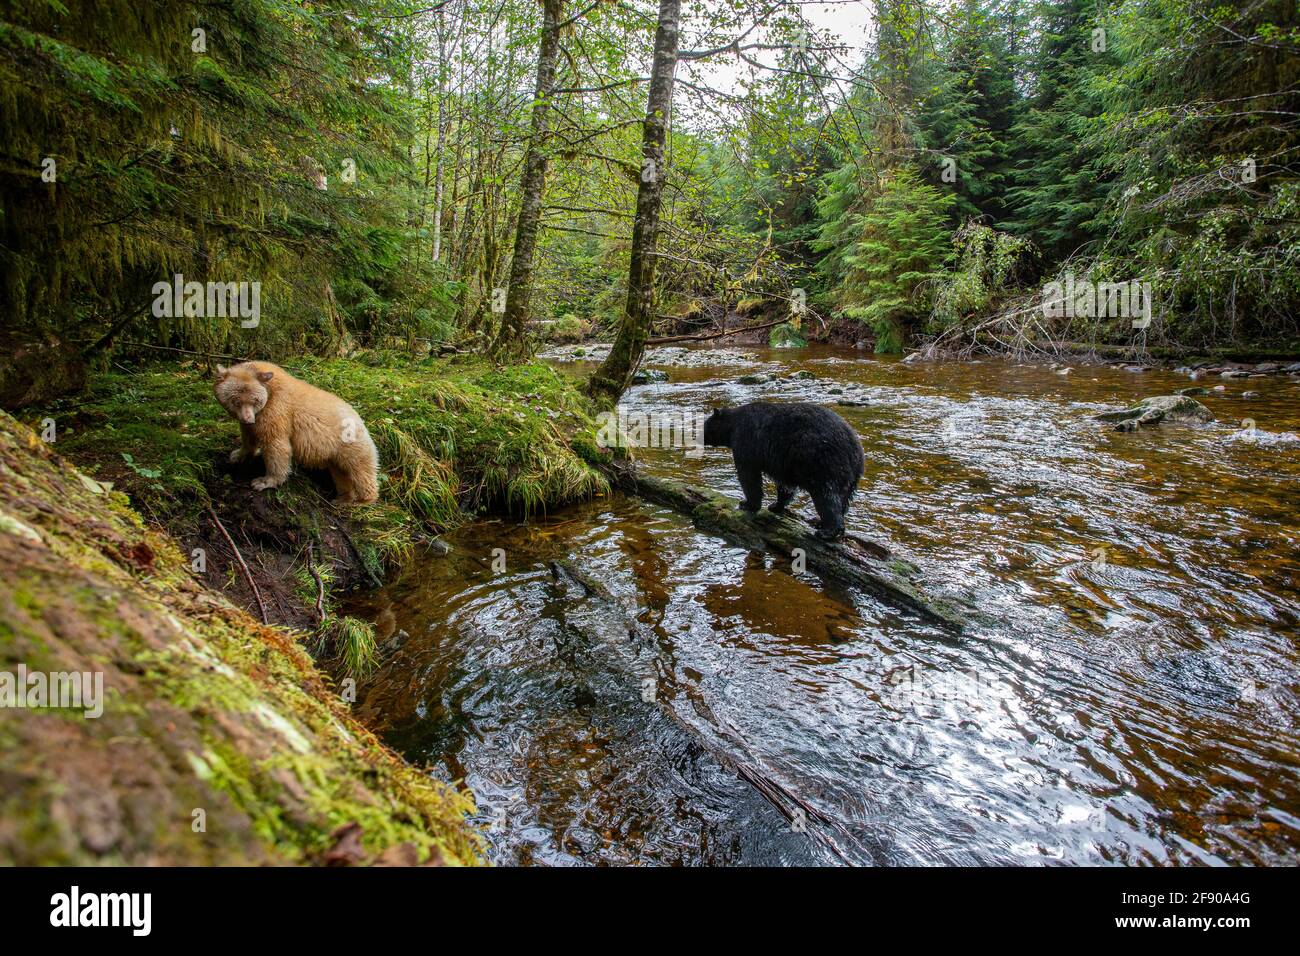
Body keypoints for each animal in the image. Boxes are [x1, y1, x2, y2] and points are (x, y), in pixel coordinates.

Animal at [213, 361, 379, 504]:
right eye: (236, 400)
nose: (248, 419)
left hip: (351, 445)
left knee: (360, 472)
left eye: (255, 400)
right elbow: (249, 436)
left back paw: (362, 500)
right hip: (336, 455)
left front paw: (263, 481)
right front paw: (237, 455)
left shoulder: (276, 410)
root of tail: (362, 422)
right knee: (341, 474)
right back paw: (342, 499)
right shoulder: (256, 419)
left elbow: (276, 445)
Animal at [702, 401, 864, 541]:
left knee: (826, 496)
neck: (732, 426)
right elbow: (784, 484)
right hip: (848, 475)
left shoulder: (747, 441)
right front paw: (775, 505)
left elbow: (749, 474)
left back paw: (827, 531)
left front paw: (747, 504)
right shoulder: (782, 461)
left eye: (704, 426)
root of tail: (855, 450)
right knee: (843, 499)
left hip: (823, 462)